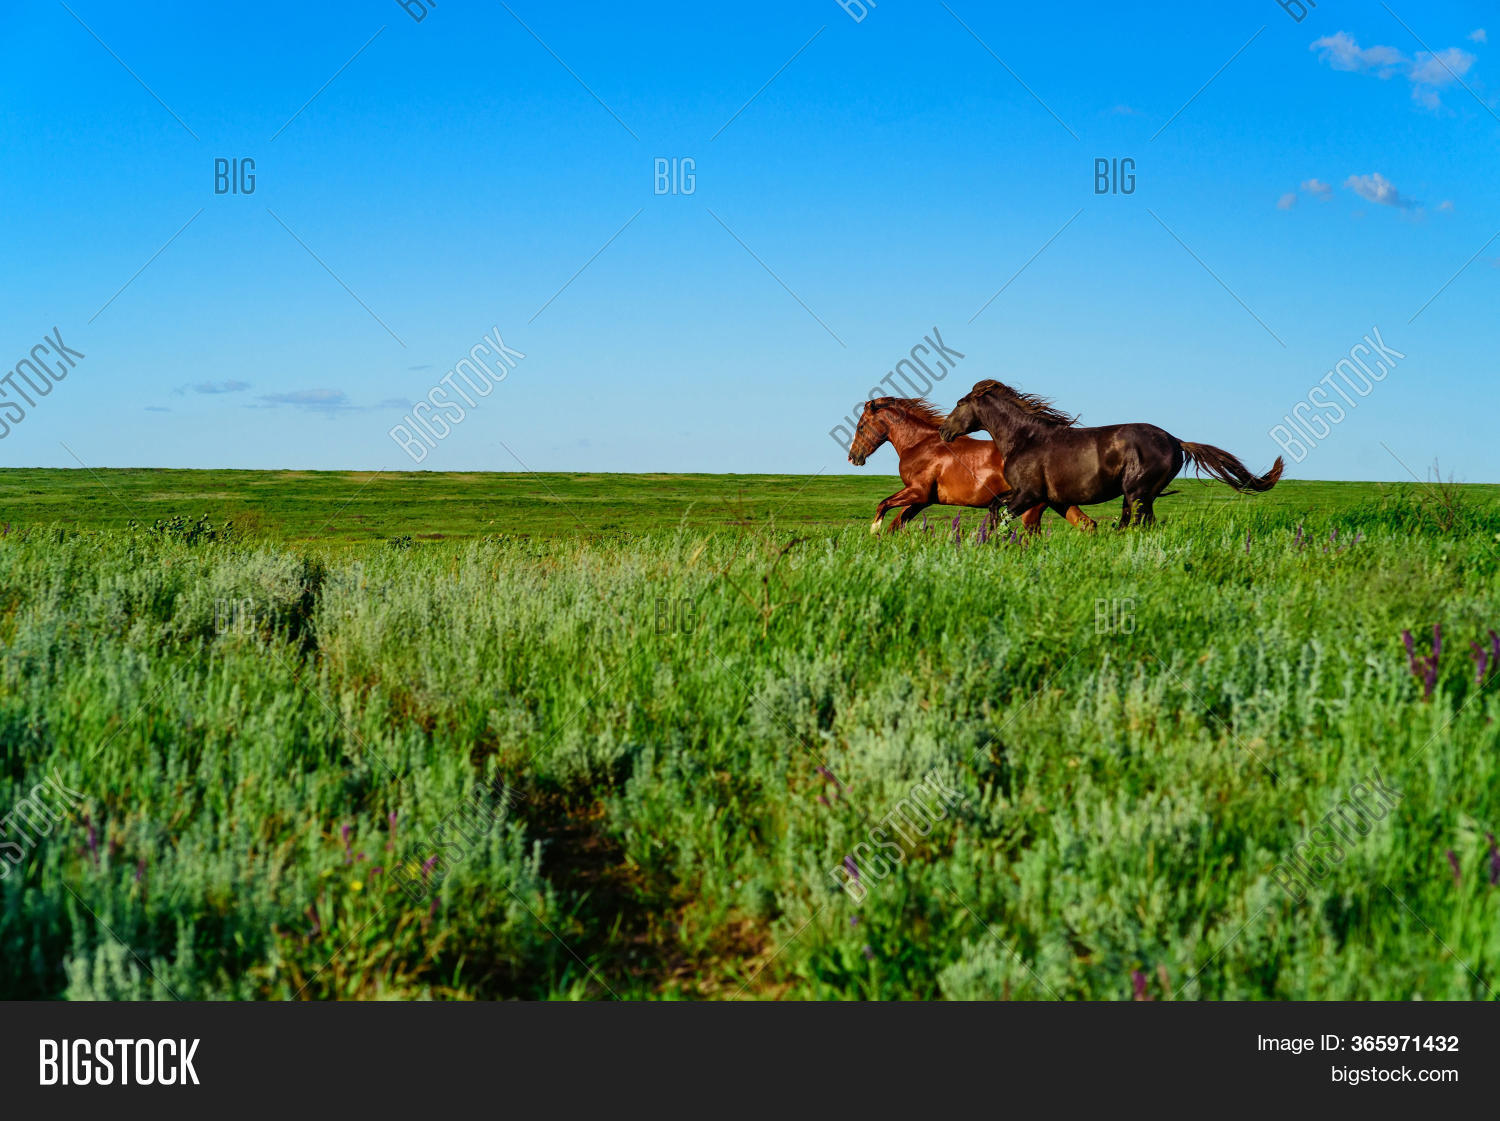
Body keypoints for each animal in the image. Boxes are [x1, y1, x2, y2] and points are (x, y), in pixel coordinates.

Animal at [847, 397, 1095, 533]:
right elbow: (896, 524)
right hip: (1057, 502)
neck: (919, 444)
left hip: (1031, 508)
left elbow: (883, 505)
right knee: (1088, 524)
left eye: (860, 426)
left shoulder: (918, 492)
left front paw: (873, 531)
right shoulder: (923, 500)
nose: (852, 457)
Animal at [936, 379, 1283, 527]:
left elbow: (1000, 513)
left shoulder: (1028, 493)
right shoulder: (1042, 496)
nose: (943, 431)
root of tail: (1176, 440)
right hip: (1140, 495)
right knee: (1138, 524)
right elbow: (1000, 510)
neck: (1026, 439)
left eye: (959, 403)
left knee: (1140, 524)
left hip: (1137, 492)